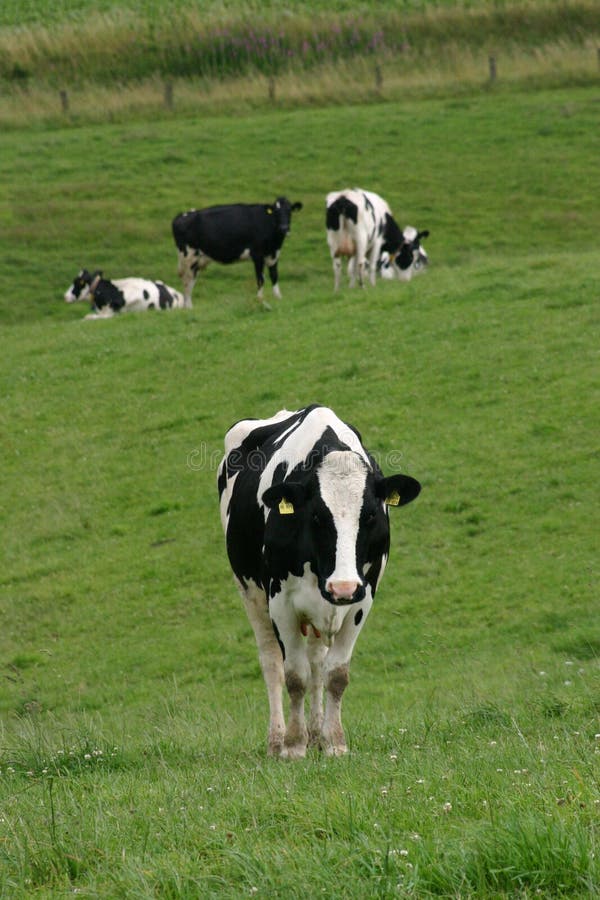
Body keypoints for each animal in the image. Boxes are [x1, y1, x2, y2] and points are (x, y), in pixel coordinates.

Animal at [172, 197, 303, 309]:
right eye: (276, 212)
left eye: (290, 211)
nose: (284, 228)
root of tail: (180, 216)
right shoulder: (258, 255)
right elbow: (260, 279)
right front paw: (260, 299)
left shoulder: (273, 255)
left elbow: (274, 276)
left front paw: (278, 297)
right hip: (188, 256)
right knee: (186, 281)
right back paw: (188, 307)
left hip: (197, 260)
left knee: (191, 281)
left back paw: (189, 307)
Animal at [218, 404, 421, 758]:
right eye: (316, 516)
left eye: (370, 514)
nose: (342, 587)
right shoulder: (281, 603)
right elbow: (294, 676)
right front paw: (293, 746)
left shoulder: (362, 599)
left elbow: (335, 674)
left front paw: (334, 742)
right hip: (250, 593)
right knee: (272, 664)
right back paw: (277, 741)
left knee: (316, 664)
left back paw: (316, 736)